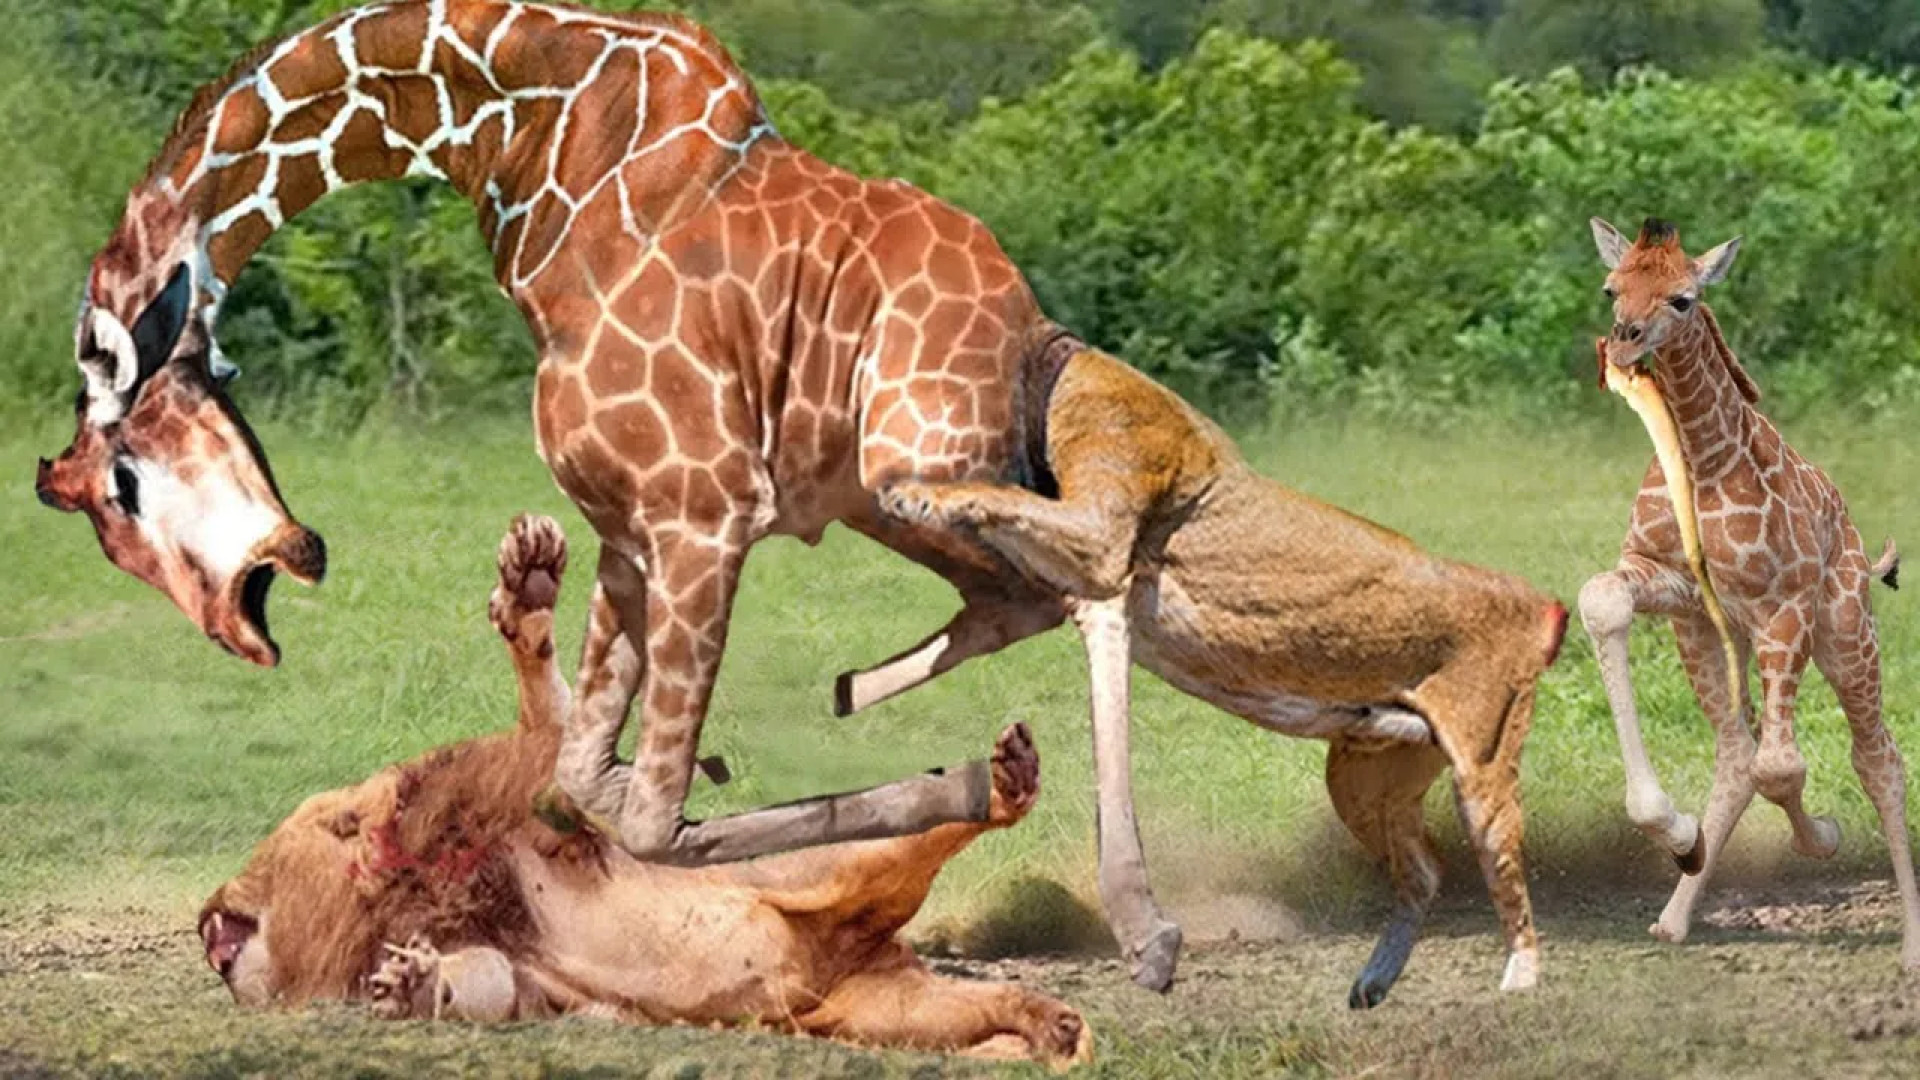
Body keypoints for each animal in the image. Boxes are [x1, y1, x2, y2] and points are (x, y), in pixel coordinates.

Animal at [31, 1, 1187, 990]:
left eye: (119, 487)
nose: (243, 623)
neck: (534, 158)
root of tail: (1034, 326)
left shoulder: (701, 507)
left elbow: (646, 821)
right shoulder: (627, 523)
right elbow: (590, 781)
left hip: (919, 474)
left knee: (1088, 583)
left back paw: (1144, 924)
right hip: (888, 493)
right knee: (1027, 596)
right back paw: (880, 705)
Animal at [197, 515, 1091, 1067]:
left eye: (330, 822)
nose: (212, 927)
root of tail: (846, 949)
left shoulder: (549, 815)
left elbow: (558, 737)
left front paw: (529, 586)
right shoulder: (525, 969)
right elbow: (488, 983)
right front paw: (408, 985)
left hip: (805, 866)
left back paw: (1006, 779)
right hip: (879, 1004)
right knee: (969, 999)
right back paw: (1051, 1023)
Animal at [1578, 217, 1920, 968]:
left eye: (1682, 299)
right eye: (1613, 287)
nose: (1624, 340)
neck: (1704, 460)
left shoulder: (1782, 607)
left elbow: (1783, 767)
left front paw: (1824, 836)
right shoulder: (1673, 584)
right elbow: (1600, 600)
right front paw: (1676, 831)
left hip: (1845, 630)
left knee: (1875, 755)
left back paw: (1912, 944)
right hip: (1711, 633)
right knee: (1736, 749)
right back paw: (1675, 914)